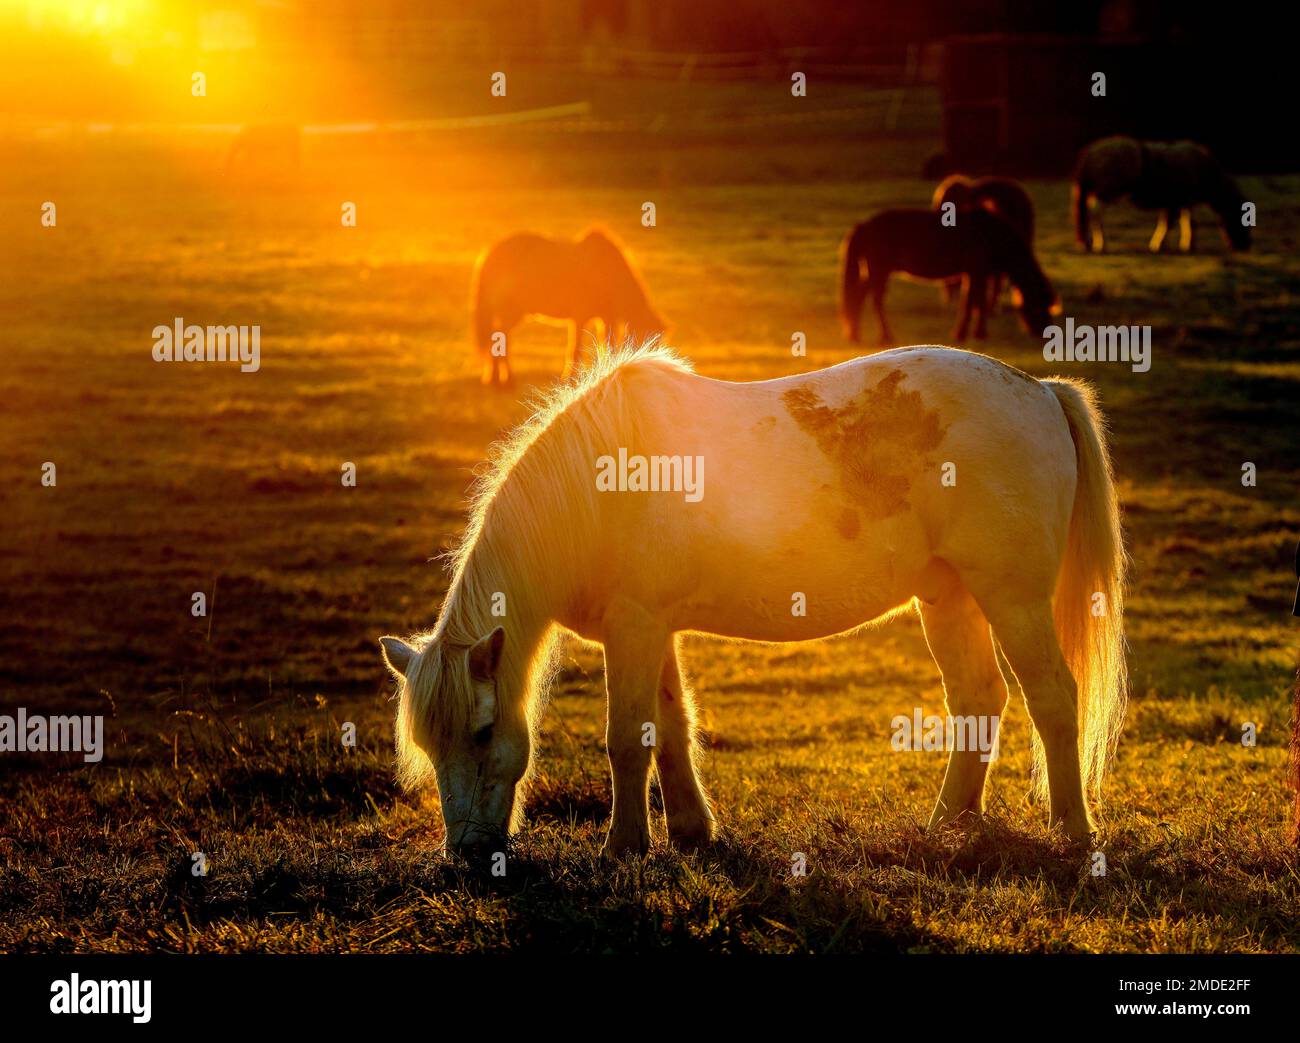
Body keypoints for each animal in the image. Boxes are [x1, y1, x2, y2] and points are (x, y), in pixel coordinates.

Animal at [379, 343, 1127, 859]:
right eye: (428, 741)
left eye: (481, 732)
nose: (467, 855)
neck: (598, 489)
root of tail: (1040, 391)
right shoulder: (654, 630)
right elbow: (670, 729)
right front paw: (690, 832)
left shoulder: (635, 627)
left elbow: (627, 739)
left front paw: (624, 846)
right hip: (948, 597)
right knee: (978, 698)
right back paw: (950, 825)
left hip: (1012, 597)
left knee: (1052, 698)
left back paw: (1071, 830)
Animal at [469, 228, 668, 387]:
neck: (606, 272)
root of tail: (490, 253)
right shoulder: (580, 317)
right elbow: (575, 349)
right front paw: (569, 380)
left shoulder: (606, 319)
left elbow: (609, 348)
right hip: (511, 311)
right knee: (500, 337)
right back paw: (505, 380)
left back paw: (495, 379)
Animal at [840, 208, 1060, 347]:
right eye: (1040, 307)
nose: (1045, 333)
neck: (990, 233)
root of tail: (864, 225)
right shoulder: (977, 271)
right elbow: (974, 301)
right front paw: (970, 333)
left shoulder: (974, 273)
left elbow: (973, 301)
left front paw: (971, 333)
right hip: (879, 270)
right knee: (874, 301)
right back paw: (885, 337)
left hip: (876, 272)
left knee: (858, 296)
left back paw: (855, 335)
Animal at [1073, 136, 1251, 254]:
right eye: (1242, 219)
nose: (1244, 247)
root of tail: (1090, 152)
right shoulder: (1177, 201)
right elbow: (1174, 223)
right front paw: (1164, 245)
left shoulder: (1180, 201)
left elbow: (1181, 222)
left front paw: (1181, 245)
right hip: (1107, 191)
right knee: (1095, 214)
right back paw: (1101, 245)